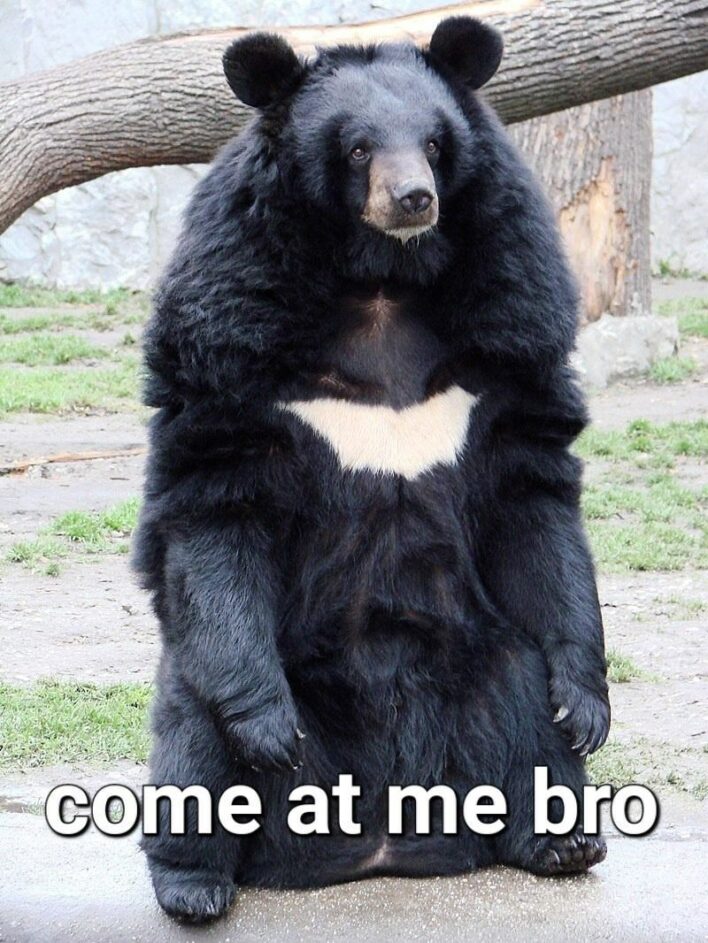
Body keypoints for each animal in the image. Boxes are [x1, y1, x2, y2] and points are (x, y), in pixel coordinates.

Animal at [134, 16, 611, 924]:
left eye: (434, 142)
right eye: (357, 149)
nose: (414, 199)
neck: (382, 277)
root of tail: (380, 841)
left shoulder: (513, 311)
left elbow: (531, 488)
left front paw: (588, 705)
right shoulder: (229, 317)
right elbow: (218, 491)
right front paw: (269, 732)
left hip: (486, 659)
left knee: (524, 707)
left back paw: (563, 837)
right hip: (210, 670)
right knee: (194, 738)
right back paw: (196, 883)